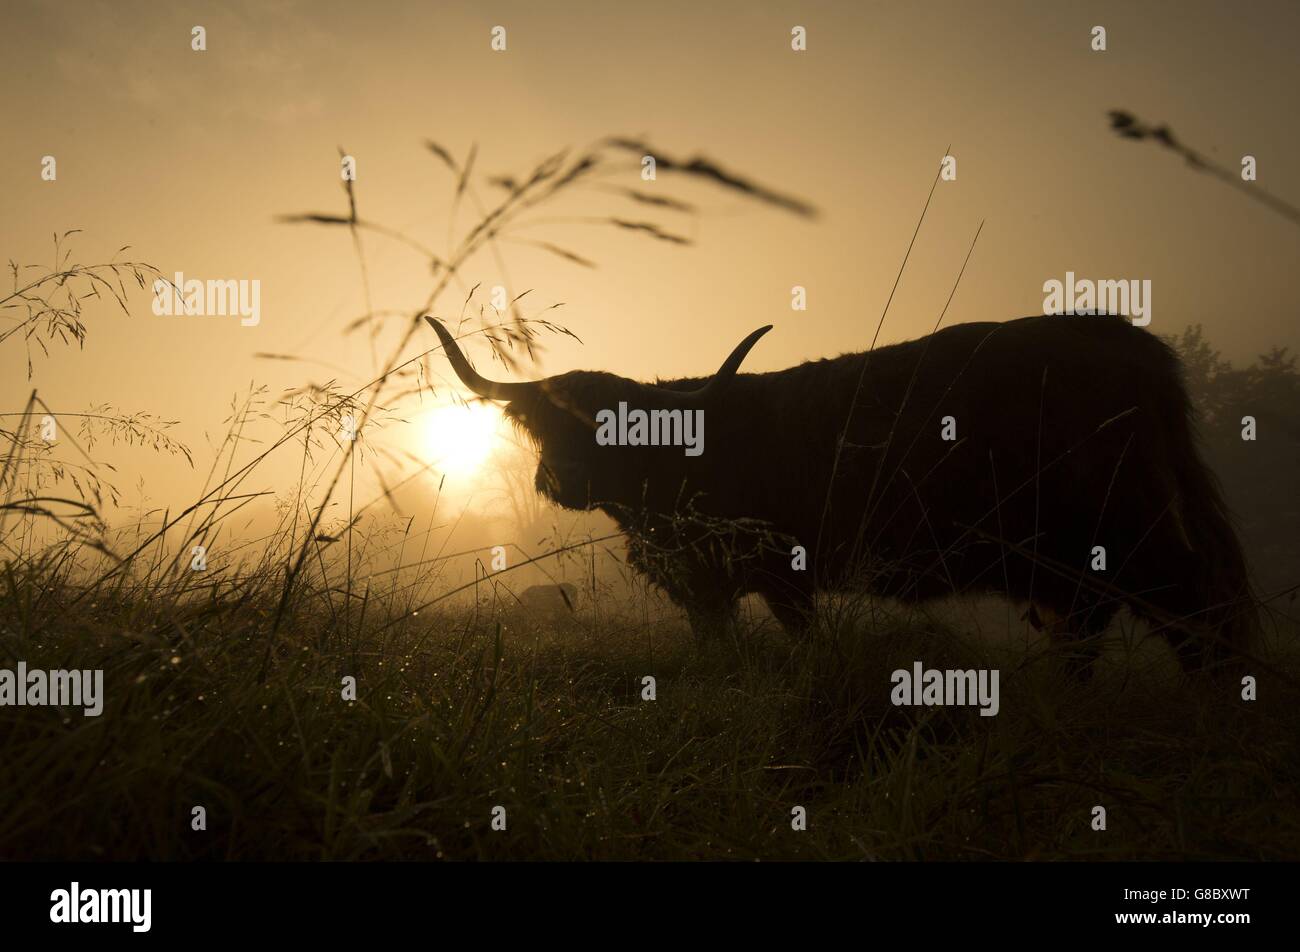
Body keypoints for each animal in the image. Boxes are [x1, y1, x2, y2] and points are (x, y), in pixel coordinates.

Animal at [425, 314, 1256, 672]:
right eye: (543, 423)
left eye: (616, 424)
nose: (558, 480)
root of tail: (1127, 338)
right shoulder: (708, 585)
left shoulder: (766, 573)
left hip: (1132, 533)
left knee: (1201, 614)